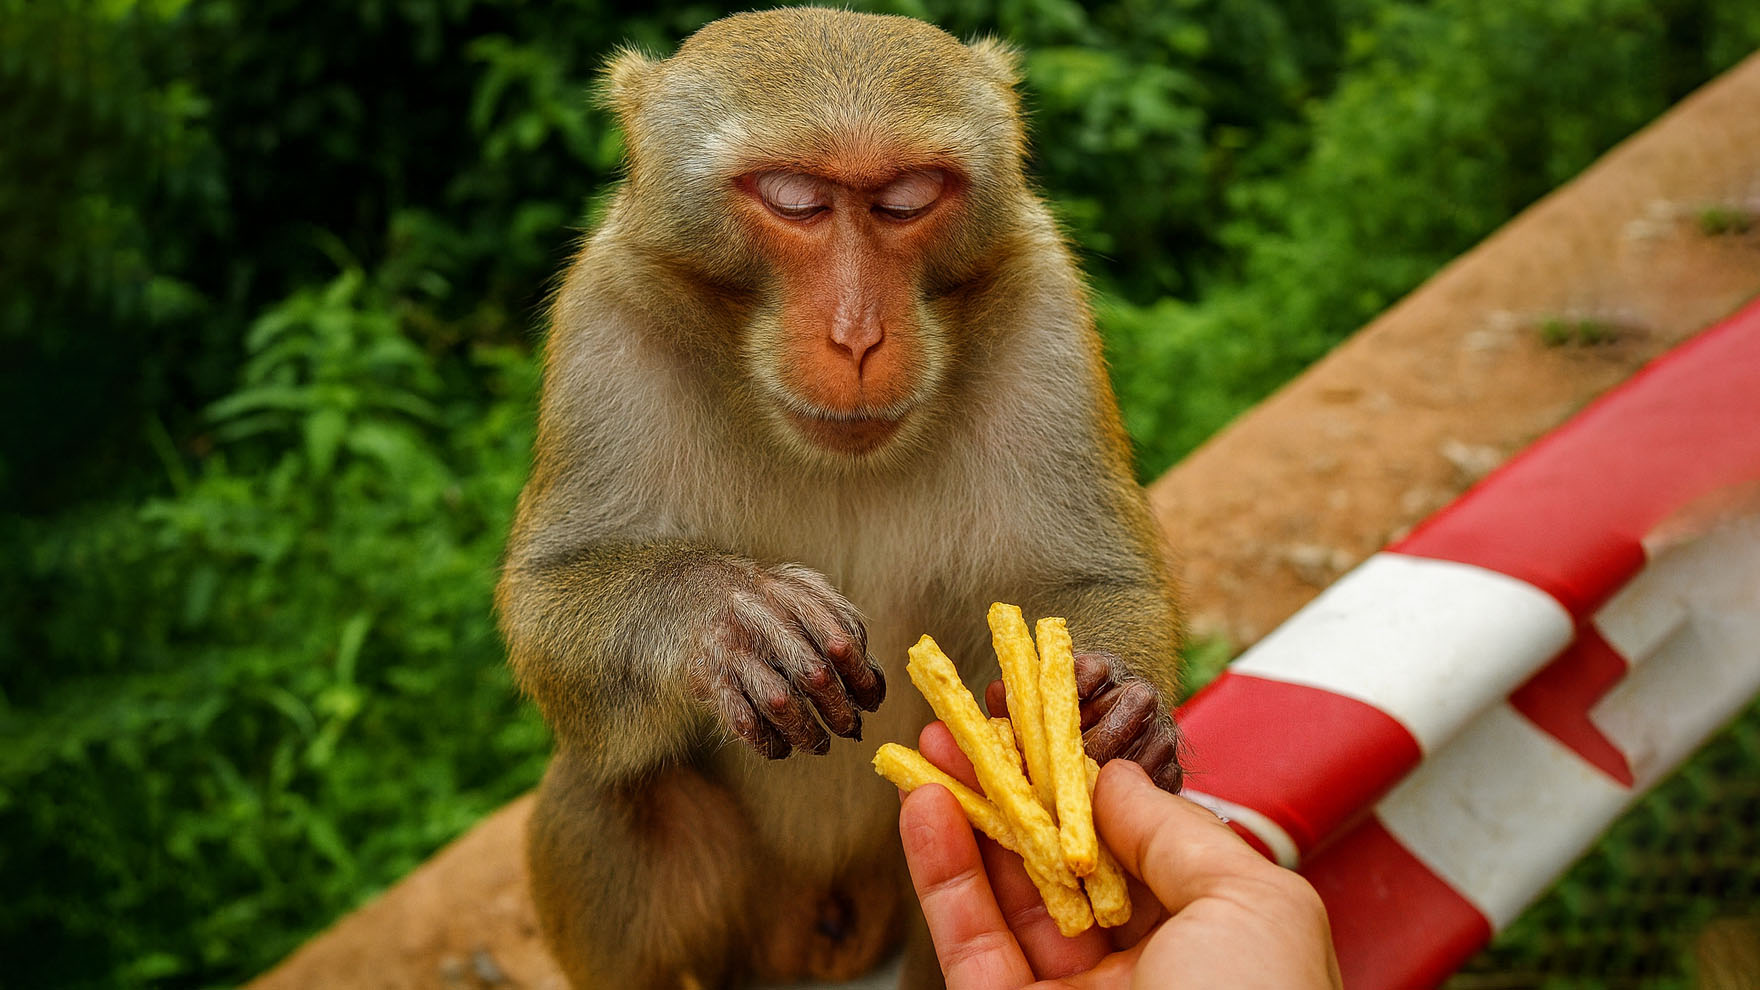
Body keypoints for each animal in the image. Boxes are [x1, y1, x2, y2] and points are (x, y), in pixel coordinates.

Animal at [494, 8, 1185, 989]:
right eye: (794, 200)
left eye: (907, 199)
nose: (857, 336)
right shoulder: (604, 314)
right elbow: (547, 593)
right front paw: (728, 618)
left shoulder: (1042, 296)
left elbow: (1085, 575)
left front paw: (1119, 716)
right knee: (612, 790)